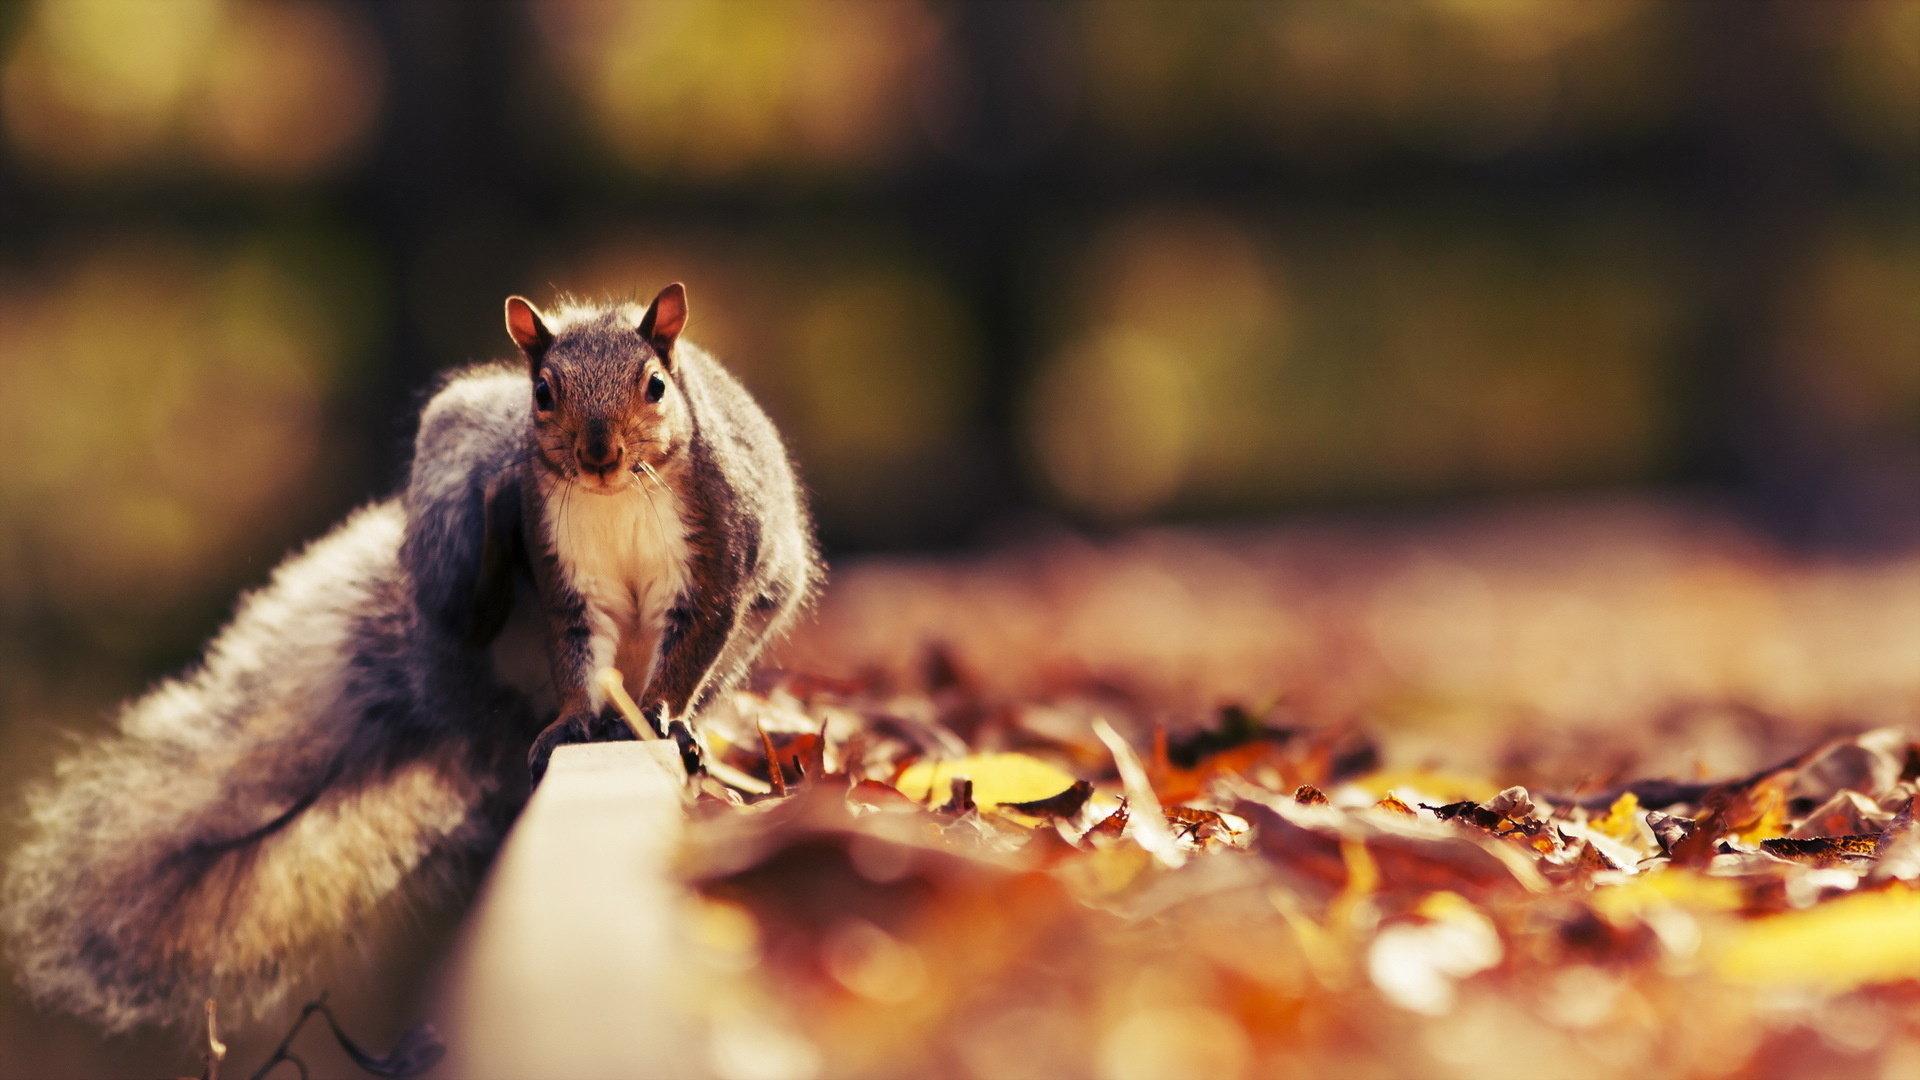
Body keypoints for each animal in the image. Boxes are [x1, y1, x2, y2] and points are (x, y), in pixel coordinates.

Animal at [2, 283, 820, 1033]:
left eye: (654, 386)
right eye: (543, 393)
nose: (598, 454)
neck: (616, 496)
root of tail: (457, 696)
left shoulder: (717, 553)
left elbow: (697, 637)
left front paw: (662, 716)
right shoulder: (567, 580)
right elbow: (577, 655)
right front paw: (570, 722)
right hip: (449, 526)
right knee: (477, 605)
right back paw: (496, 535)